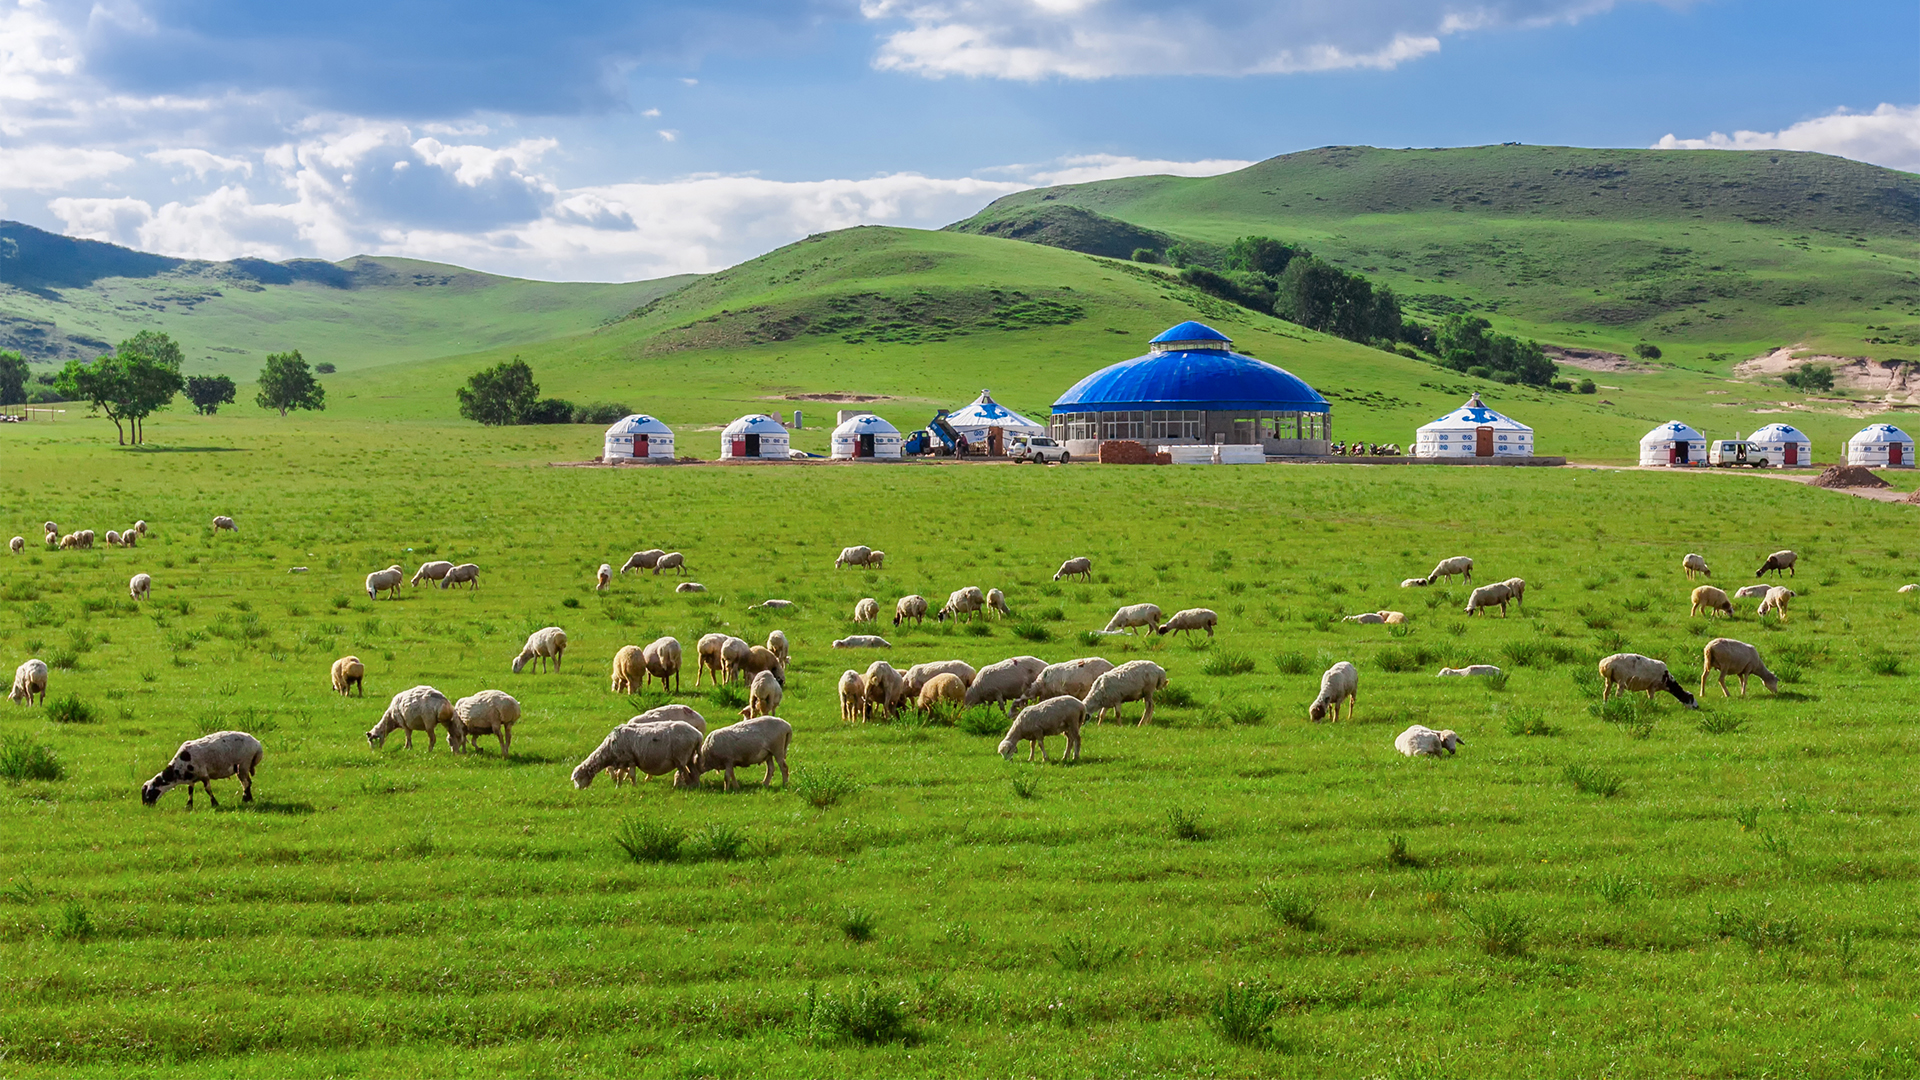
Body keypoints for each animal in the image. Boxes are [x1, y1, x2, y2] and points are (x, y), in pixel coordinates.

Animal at [568, 718, 706, 787]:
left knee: (684, 773)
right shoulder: (623, 761)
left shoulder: (630, 759)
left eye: (578, 778)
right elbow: (621, 775)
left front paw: (634, 787)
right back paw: (695, 786)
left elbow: (631, 775)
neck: (609, 750)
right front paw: (619, 787)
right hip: (689, 757)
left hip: (681, 757)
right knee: (693, 772)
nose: (578, 789)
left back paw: (683, 787)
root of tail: (697, 735)